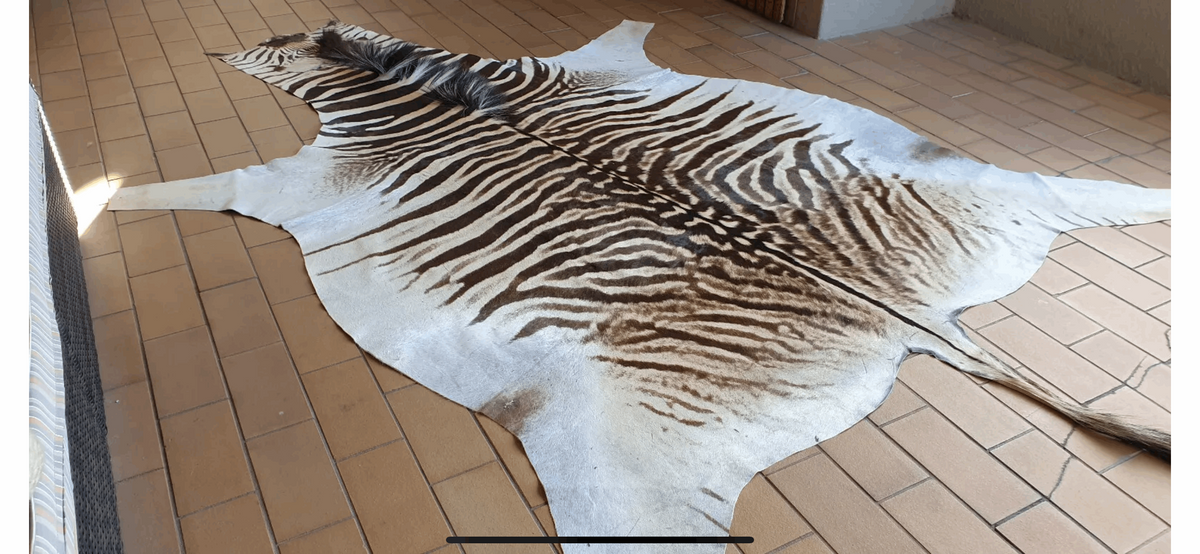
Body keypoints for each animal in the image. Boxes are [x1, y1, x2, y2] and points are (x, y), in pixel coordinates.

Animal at [109, 20, 1170, 552]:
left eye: (280, 38)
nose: (250, 35)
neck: (413, 83)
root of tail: (915, 319)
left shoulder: (296, 185)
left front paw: (111, 196)